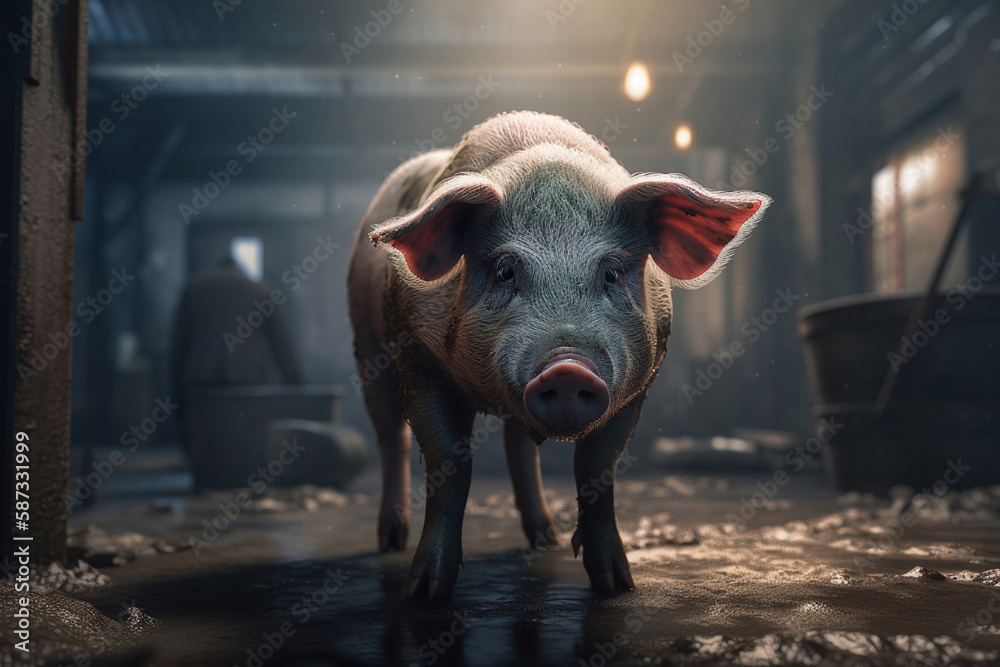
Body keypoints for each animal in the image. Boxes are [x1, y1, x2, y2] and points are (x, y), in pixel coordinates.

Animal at [347, 111, 770, 600]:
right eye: (505, 271)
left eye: (611, 272)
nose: (567, 367)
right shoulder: (419, 358)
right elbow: (449, 467)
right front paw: (426, 593)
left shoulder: (637, 387)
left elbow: (597, 469)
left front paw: (617, 586)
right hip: (366, 346)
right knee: (389, 435)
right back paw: (389, 543)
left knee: (517, 445)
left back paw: (544, 540)